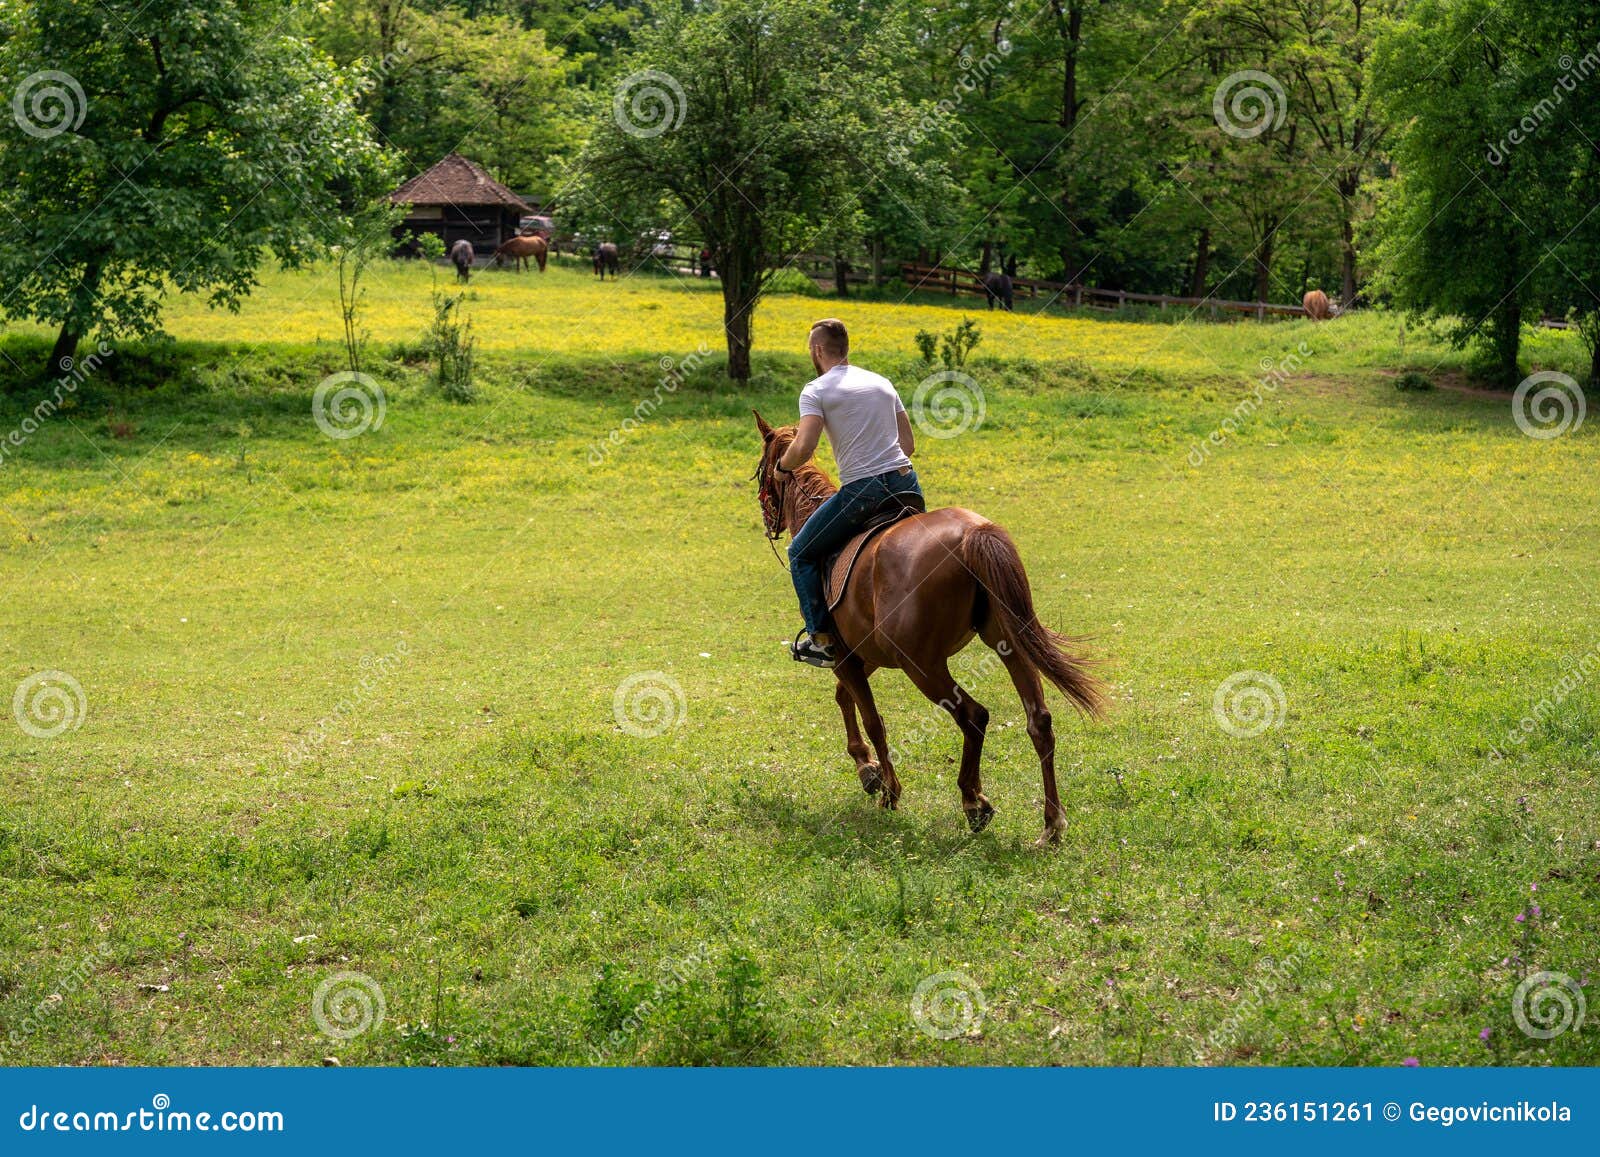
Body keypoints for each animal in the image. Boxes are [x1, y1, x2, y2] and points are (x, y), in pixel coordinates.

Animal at [752, 412, 1106, 846]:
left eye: (761, 469)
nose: (766, 518)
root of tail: (973, 534)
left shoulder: (847, 657)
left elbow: (873, 719)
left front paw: (887, 788)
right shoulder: (864, 655)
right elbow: (844, 698)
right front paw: (867, 769)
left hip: (922, 665)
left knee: (974, 715)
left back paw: (973, 801)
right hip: (1006, 642)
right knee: (1038, 720)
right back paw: (1051, 824)